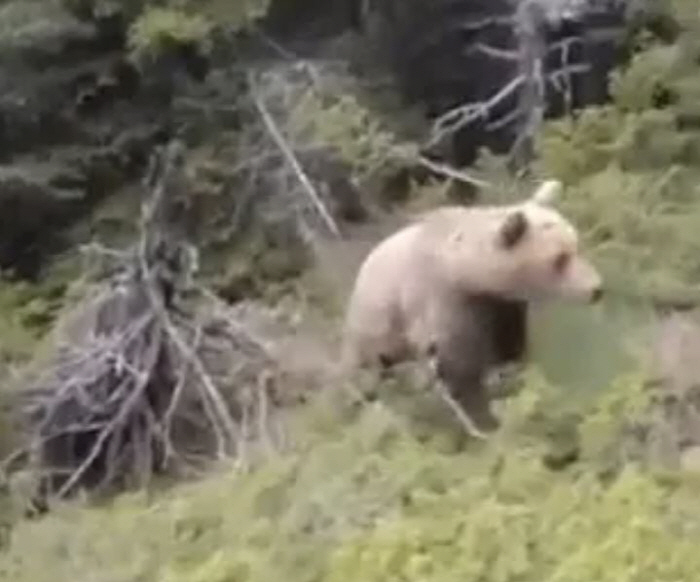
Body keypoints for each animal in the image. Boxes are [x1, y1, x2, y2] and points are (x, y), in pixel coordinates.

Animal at [340, 179, 603, 436]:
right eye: (560, 259)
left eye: (576, 245)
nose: (596, 289)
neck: (469, 274)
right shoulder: (444, 302)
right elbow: (458, 367)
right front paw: (484, 420)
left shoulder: (501, 308)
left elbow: (509, 347)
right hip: (375, 329)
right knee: (369, 372)